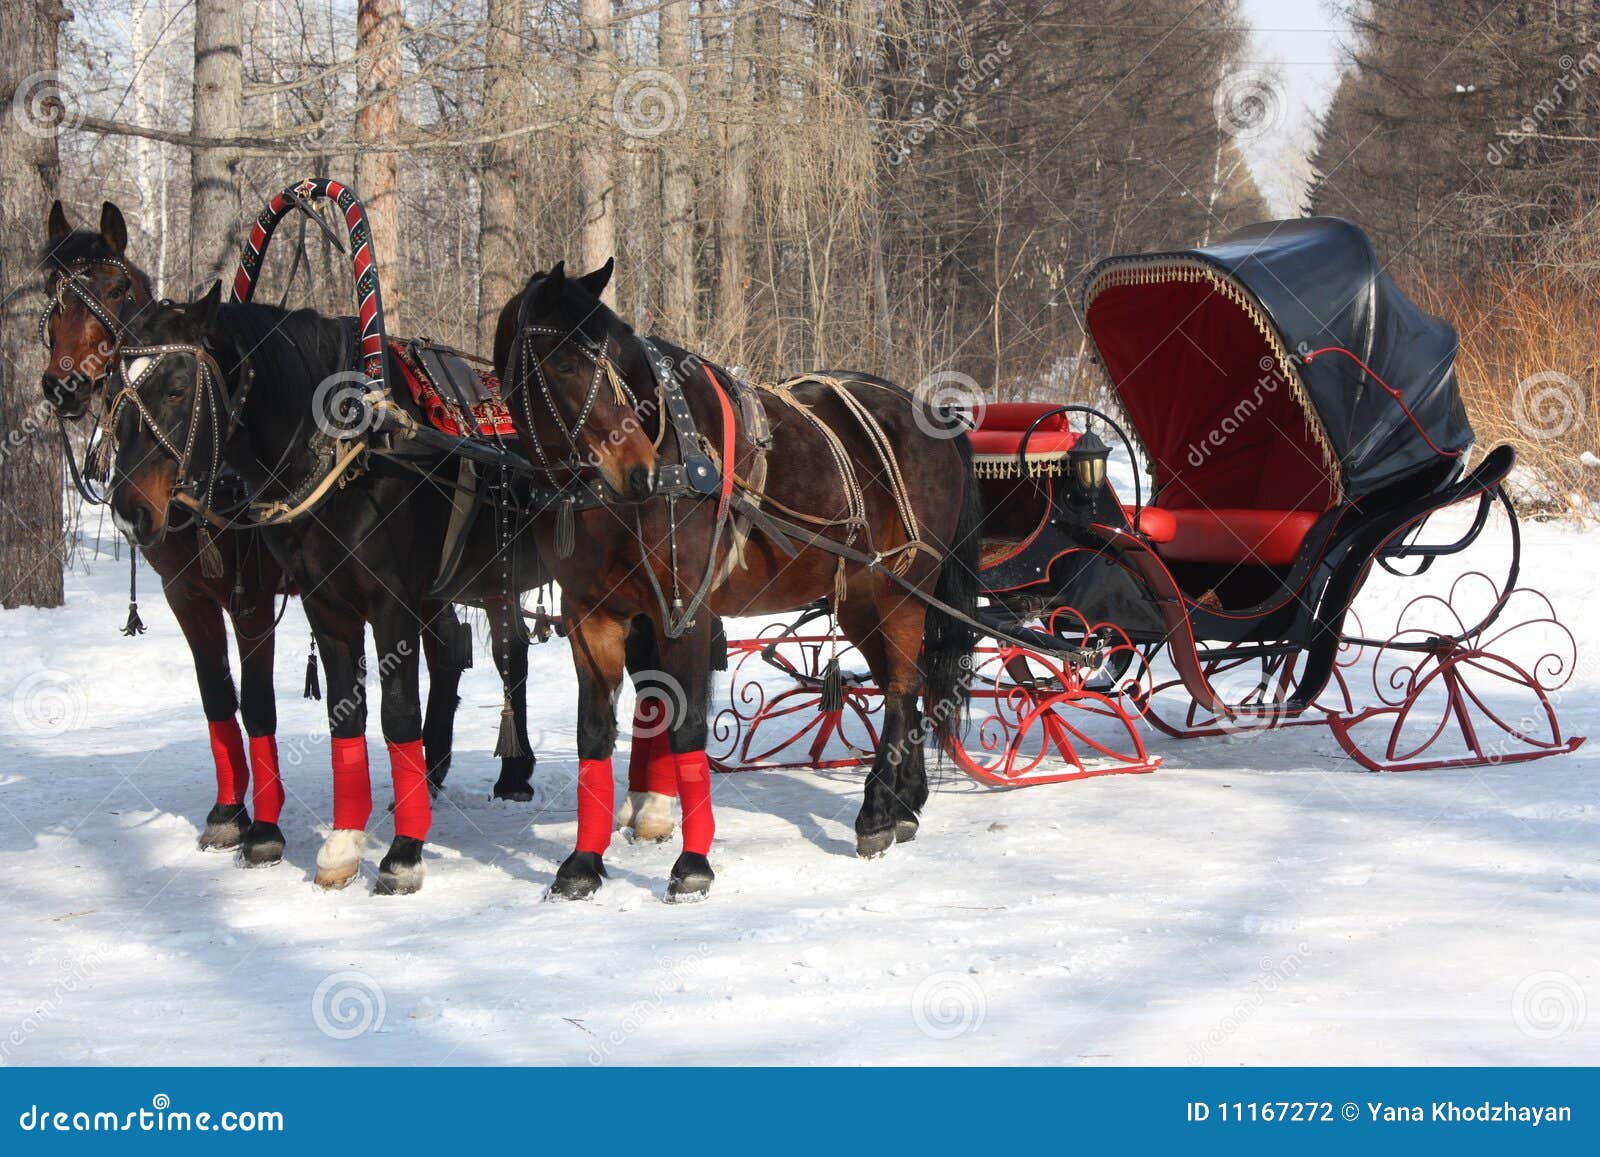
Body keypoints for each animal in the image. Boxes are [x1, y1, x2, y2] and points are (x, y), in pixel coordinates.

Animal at [105, 282, 543, 894]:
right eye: (114, 390)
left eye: (176, 387)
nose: (130, 509)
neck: (352, 451)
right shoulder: (321, 604)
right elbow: (337, 712)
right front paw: (341, 842)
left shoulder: (382, 603)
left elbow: (394, 713)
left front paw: (403, 853)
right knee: (470, 652)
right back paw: (452, 770)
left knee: (510, 657)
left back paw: (520, 777)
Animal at [496, 259, 982, 901]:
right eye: (566, 364)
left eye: (619, 362)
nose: (638, 473)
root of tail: (928, 411)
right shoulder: (589, 616)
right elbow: (593, 734)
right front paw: (581, 863)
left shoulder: (685, 612)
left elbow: (687, 730)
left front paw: (692, 862)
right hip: (860, 598)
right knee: (911, 683)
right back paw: (906, 804)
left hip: (904, 588)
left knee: (903, 689)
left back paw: (878, 812)